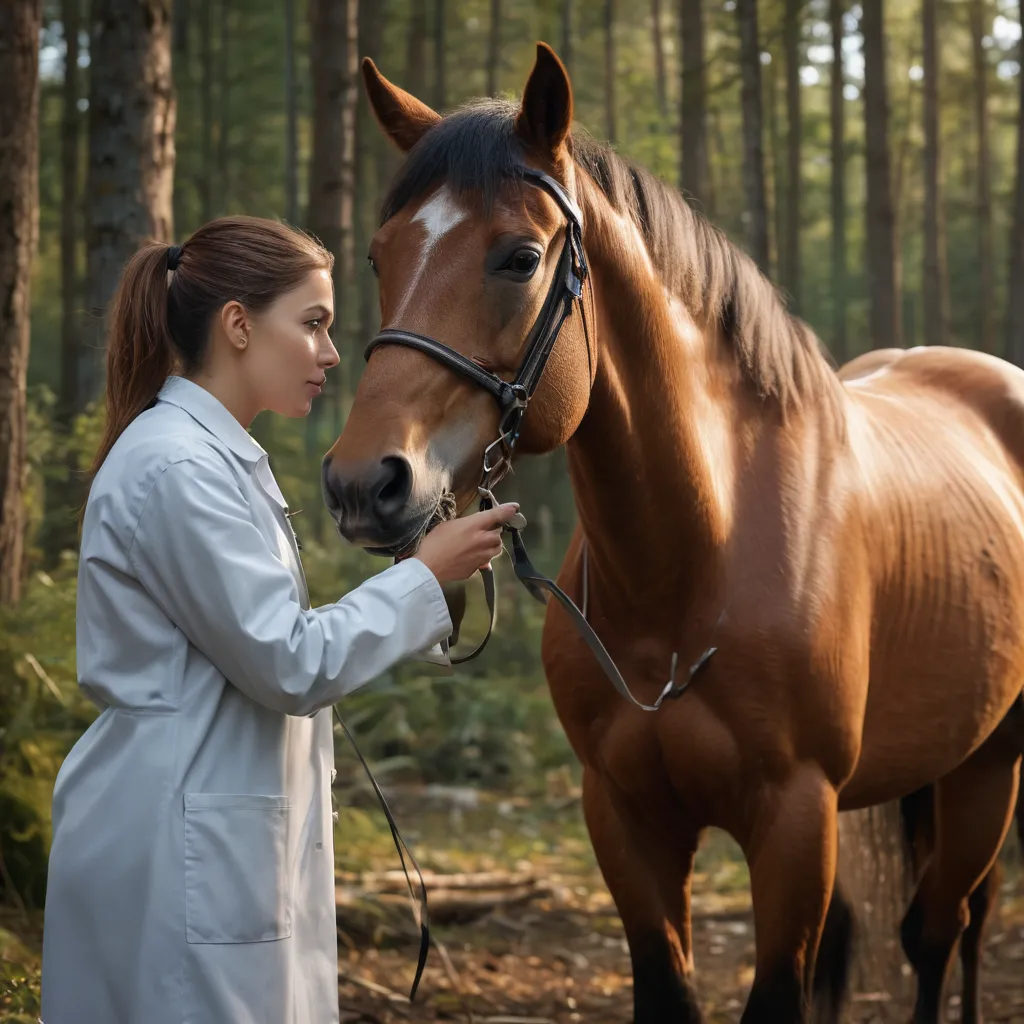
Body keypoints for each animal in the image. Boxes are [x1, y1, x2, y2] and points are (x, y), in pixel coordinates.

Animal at [322, 44, 1024, 1023]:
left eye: (520, 258)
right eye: (380, 257)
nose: (364, 483)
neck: (698, 558)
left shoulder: (795, 823)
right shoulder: (625, 820)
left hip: (991, 761)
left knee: (942, 929)